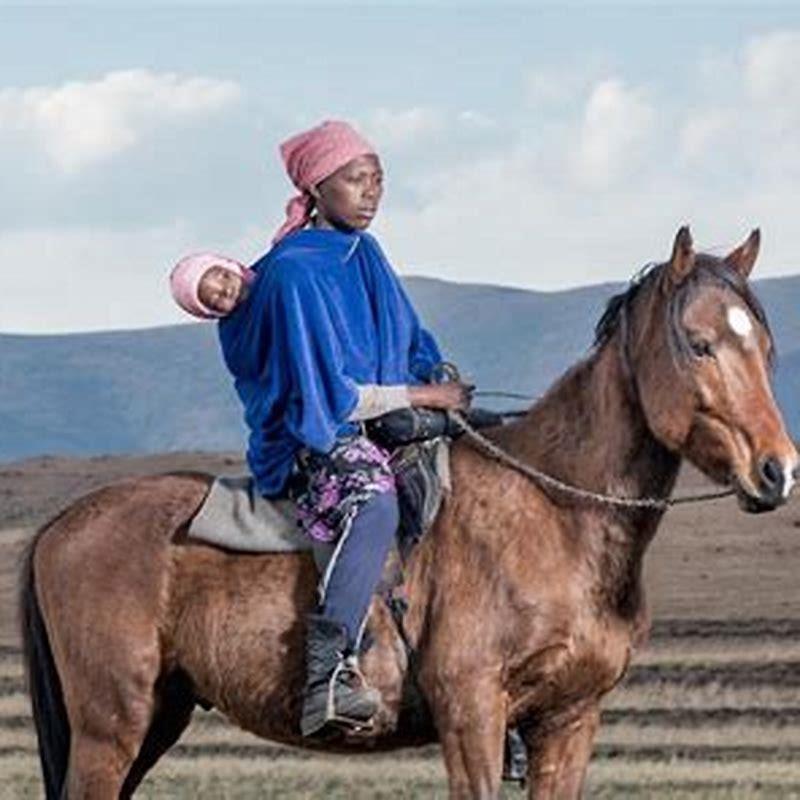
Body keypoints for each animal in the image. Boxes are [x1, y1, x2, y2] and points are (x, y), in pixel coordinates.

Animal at [20, 227, 798, 799]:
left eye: (764, 345)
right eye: (698, 344)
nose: (779, 470)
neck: (556, 517)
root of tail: (60, 525)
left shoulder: (569, 720)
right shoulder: (472, 715)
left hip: (158, 716)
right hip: (113, 725)